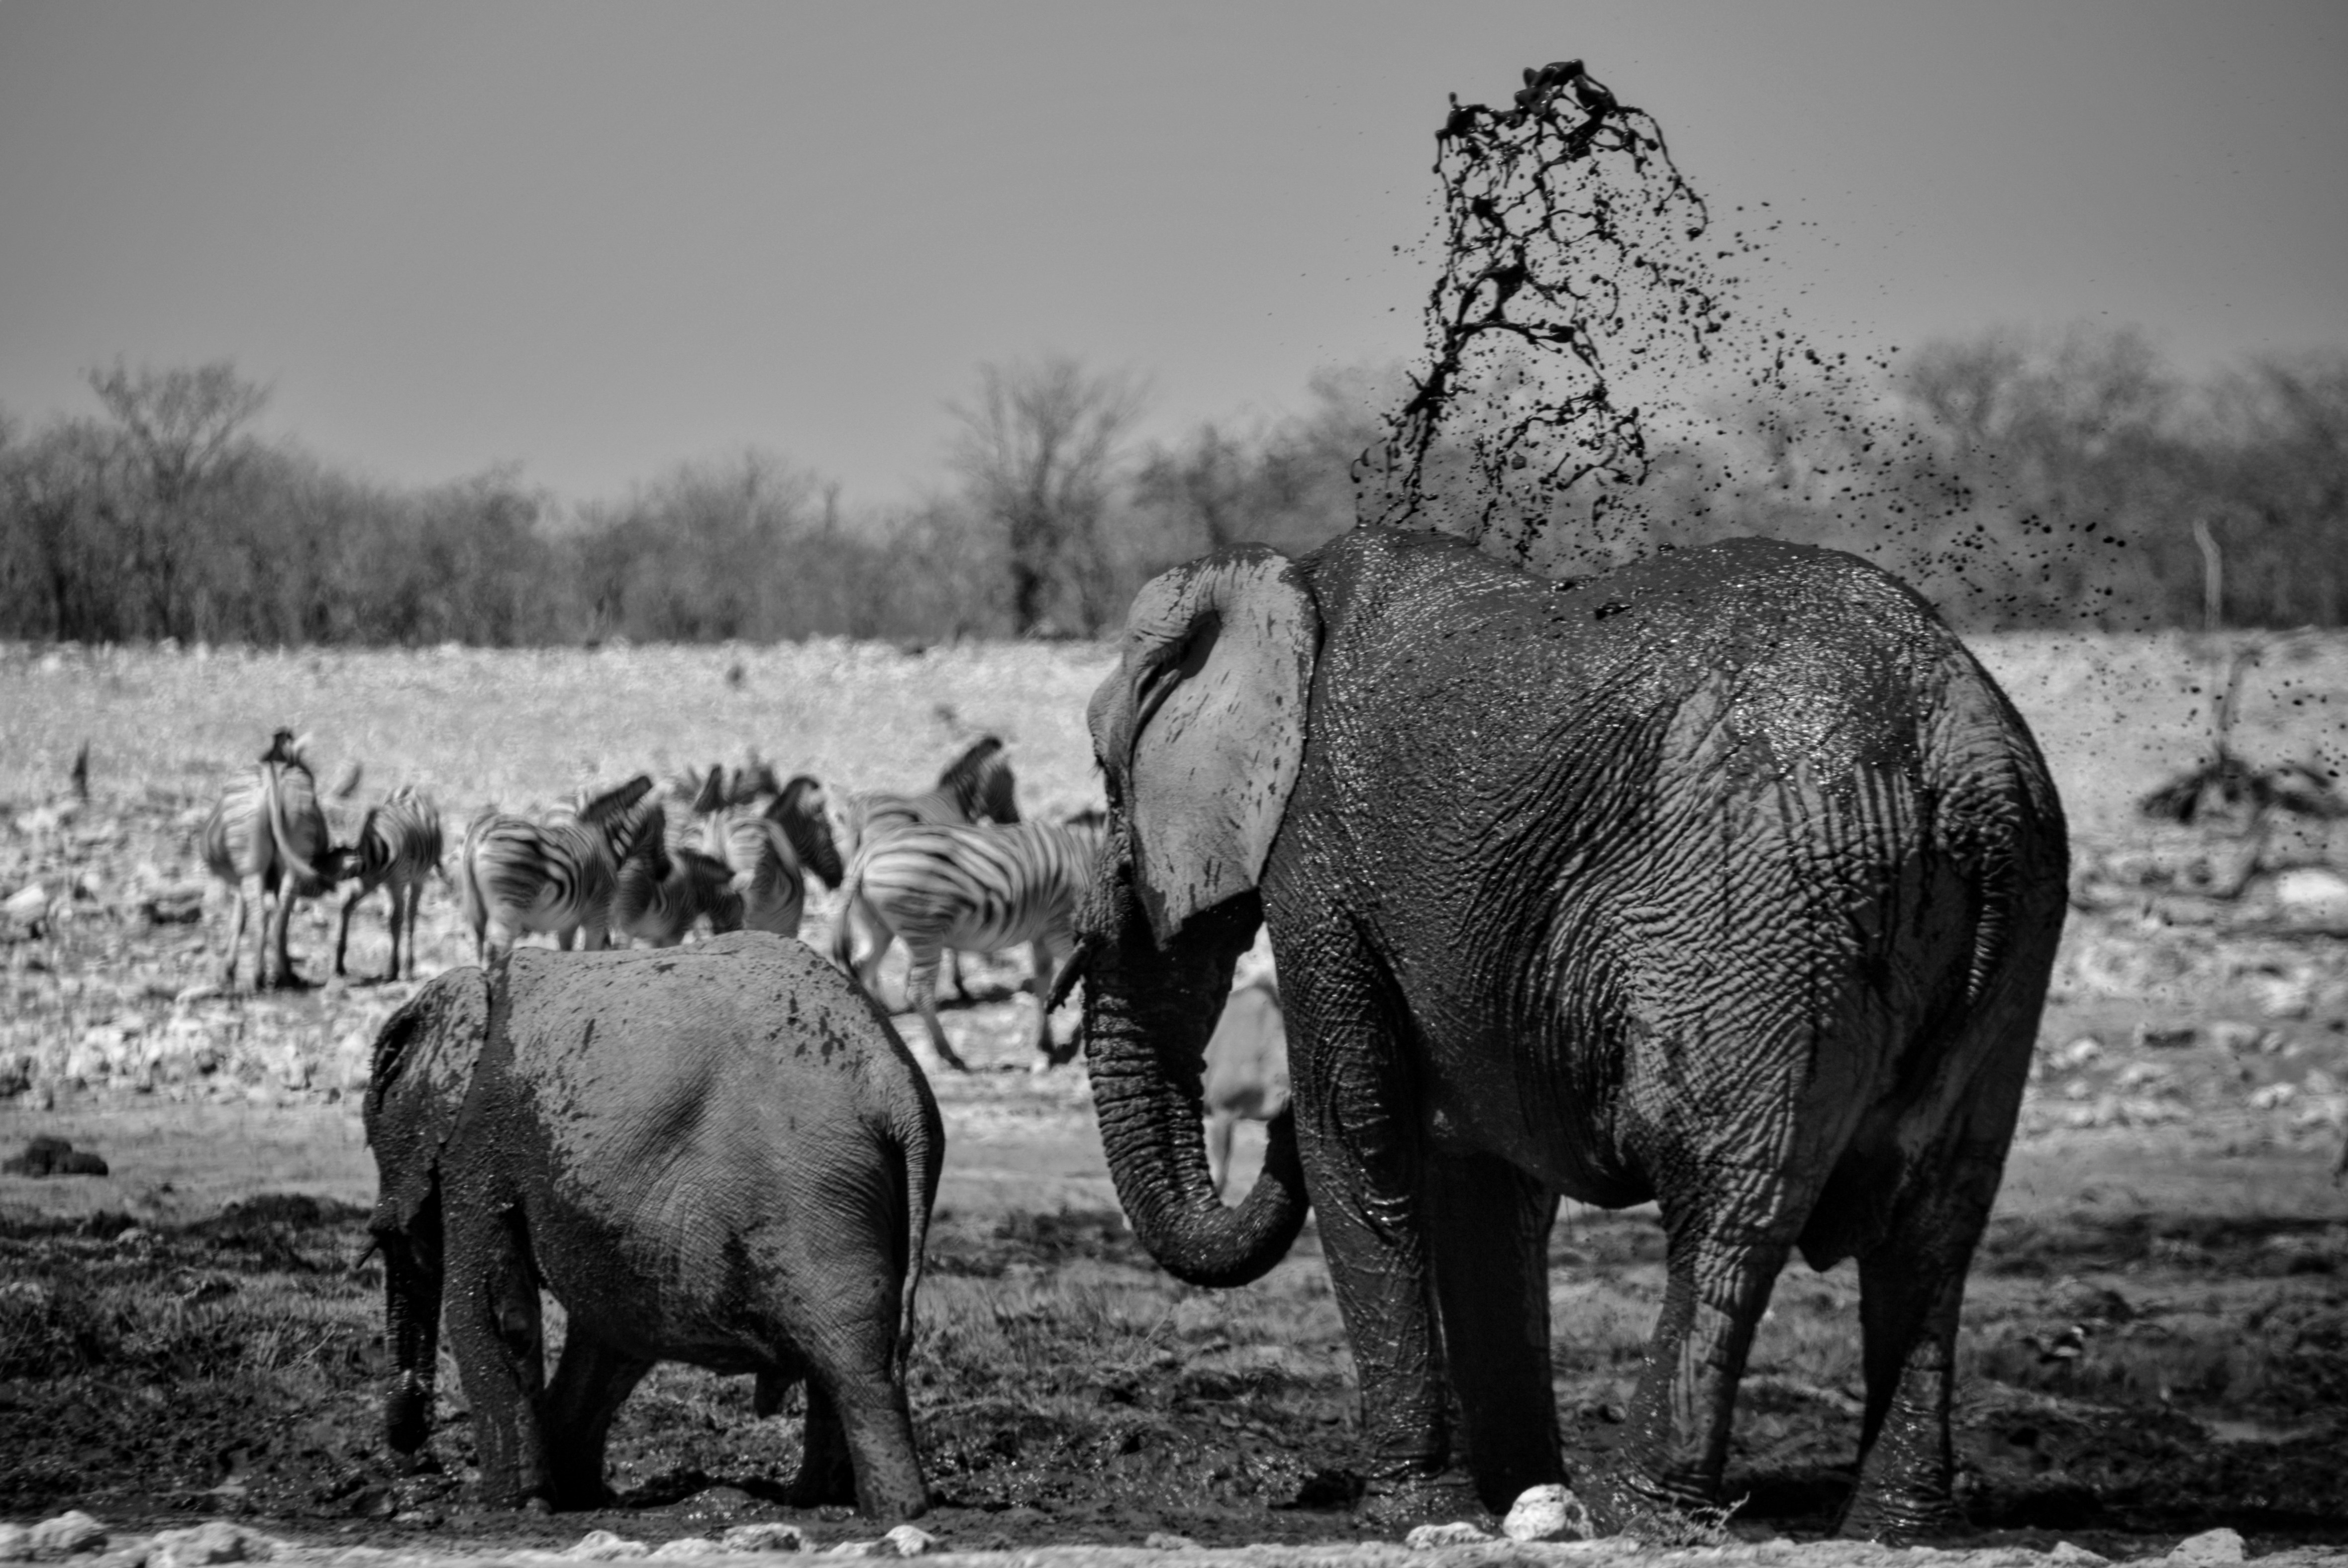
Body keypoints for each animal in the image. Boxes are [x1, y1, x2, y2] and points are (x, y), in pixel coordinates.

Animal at [364, 932, 943, 1519]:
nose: (415, 1459)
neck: (471, 992)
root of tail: (902, 1093)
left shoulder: (476, 1141)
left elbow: (500, 1313)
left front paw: (517, 1507)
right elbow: (613, 1331)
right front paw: (574, 1497)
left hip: (814, 1185)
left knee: (853, 1348)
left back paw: (896, 1512)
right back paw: (814, 1501)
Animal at [1068, 524, 2068, 1540]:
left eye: (1108, 785)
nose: (1260, 1118)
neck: (1283, 580)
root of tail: (1963, 750)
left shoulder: (1316, 861)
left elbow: (1358, 1136)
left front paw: (1416, 1509)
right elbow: (1479, 1179)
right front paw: (1515, 1497)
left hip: (1772, 900)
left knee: (1727, 1201)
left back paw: (1638, 1513)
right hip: (2013, 914)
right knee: (1935, 1218)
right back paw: (1884, 1530)